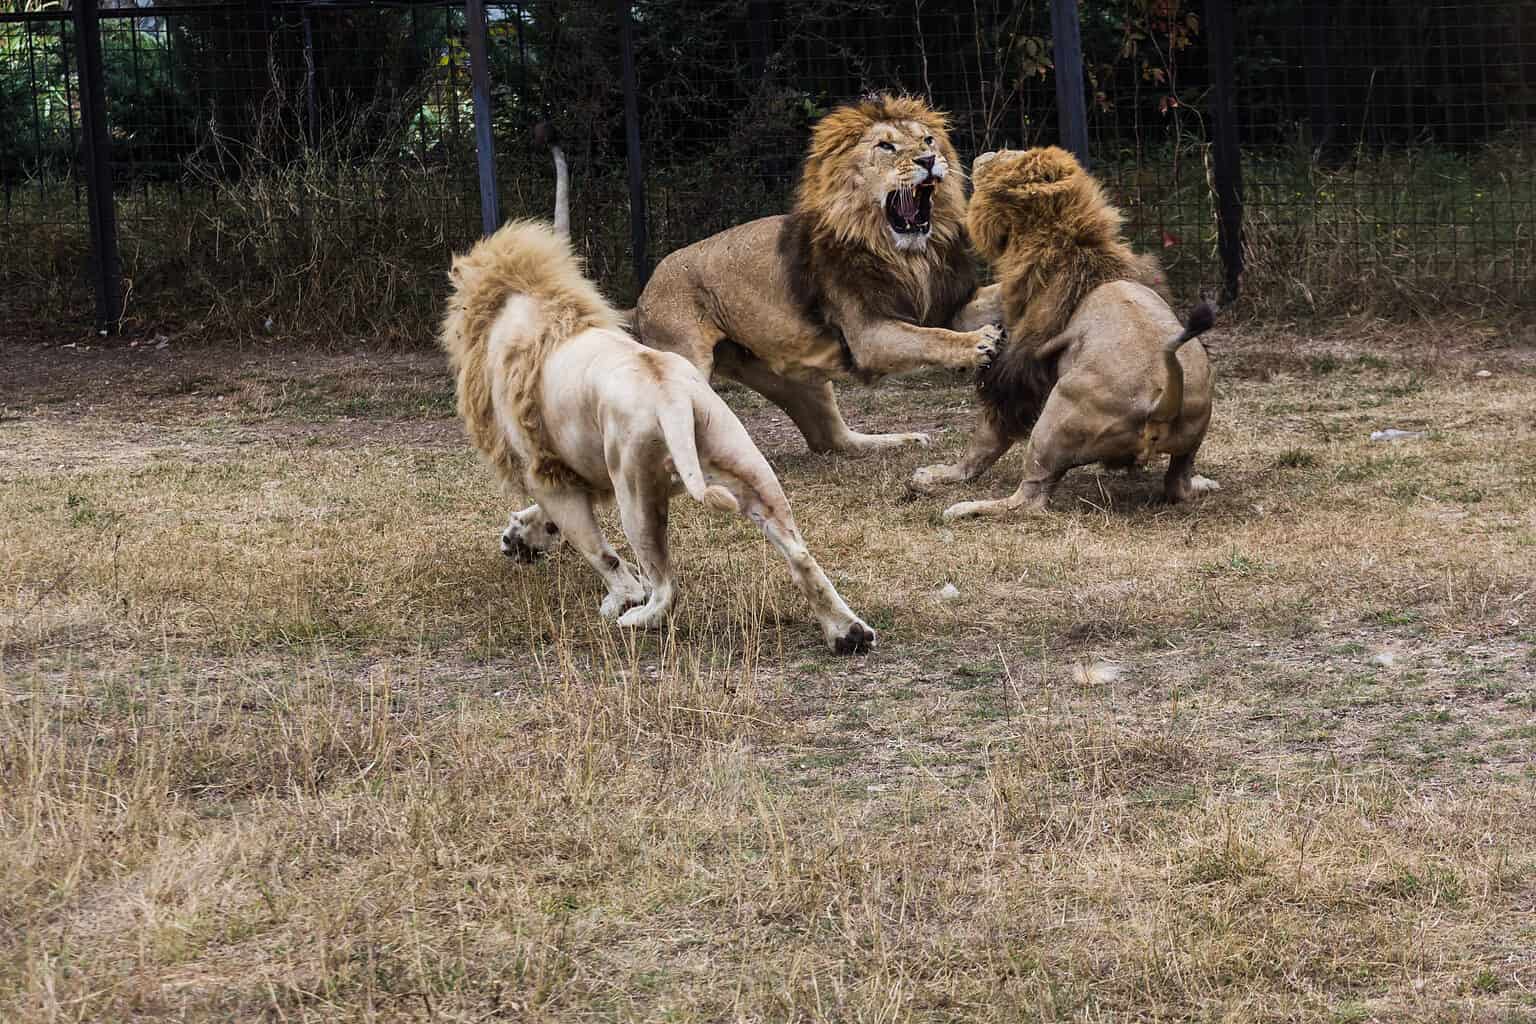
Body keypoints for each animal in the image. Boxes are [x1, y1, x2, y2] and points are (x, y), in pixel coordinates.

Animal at [438, 138, 875, 653]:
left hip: (636, 492)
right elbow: (556, 521)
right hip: (749, 468)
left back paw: (638, 618)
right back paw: (848, 632)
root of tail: (671, 395)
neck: (534, 302)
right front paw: (521, 536)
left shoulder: (545, 472)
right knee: (801, 555)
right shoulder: (564, 470)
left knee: (665, 585)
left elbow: (602, 554)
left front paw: (615, 596)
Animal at [634, 93, 1003, 456]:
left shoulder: (945, 307)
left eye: (928, 140)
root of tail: (643, 295)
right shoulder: (868, 334)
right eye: (885, 146)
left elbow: (980, 304)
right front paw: (978, 342)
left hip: (799, 380)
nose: (928, 159)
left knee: (830, 440)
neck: (908, 257)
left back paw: (901, 439)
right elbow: (931, 338)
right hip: (687, 363)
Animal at [909, 146, 1219, 517]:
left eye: (1006, 156)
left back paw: (967, 508)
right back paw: (1201, 484)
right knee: (1178, 483)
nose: (985, 154)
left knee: (1031, 498)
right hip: (1195, 429)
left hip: (1053, 424)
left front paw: (945, 474)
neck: (1072, 248)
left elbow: (986, 438)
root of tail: (1162, 403)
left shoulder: (1017, 367)